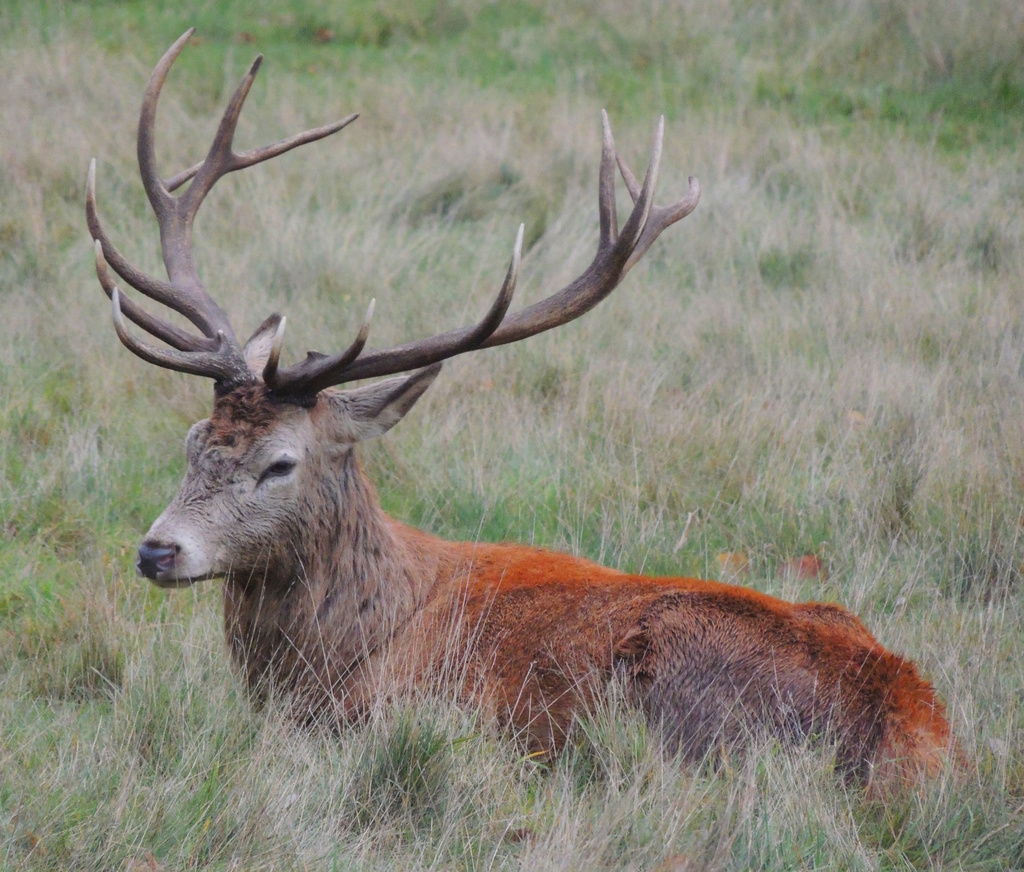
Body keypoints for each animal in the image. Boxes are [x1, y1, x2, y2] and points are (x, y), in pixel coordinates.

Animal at [87, 30, 954, 795]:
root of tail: (910, 725)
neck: (344, 650)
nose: (157, 550)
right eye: (193, 441)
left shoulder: (392, 713)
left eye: (280, 462)